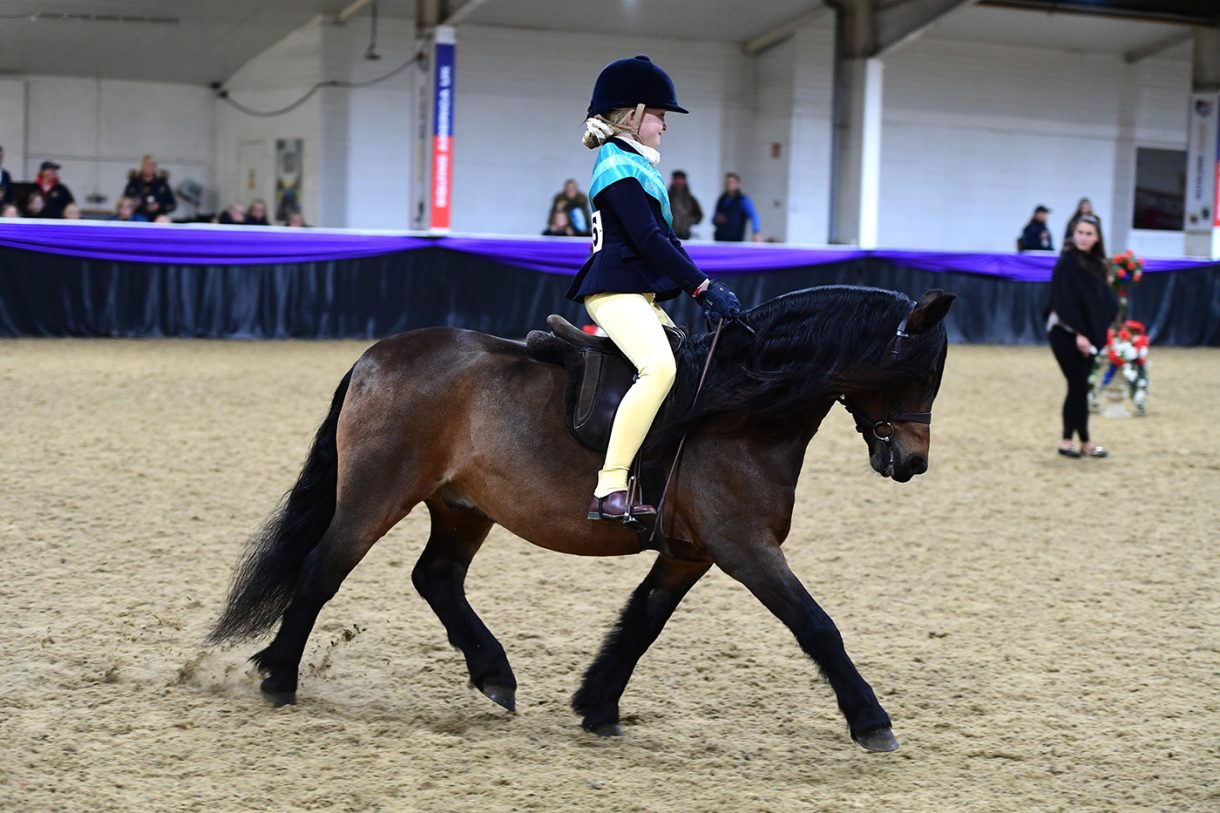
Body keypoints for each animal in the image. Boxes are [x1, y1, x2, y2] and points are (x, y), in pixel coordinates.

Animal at [208, 284, 955, 752]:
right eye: (919, 373)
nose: (912, 462)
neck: (742, 412)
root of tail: (376, 355)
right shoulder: (744, 546)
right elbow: (817, 625)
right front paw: (872, 721)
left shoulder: (690, 551)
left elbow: (640, 623)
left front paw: (597, 706)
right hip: (376, 494)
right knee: (322, 569)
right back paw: (278, 678)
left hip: (461, 505)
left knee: (436, 576)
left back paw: (494, 674)